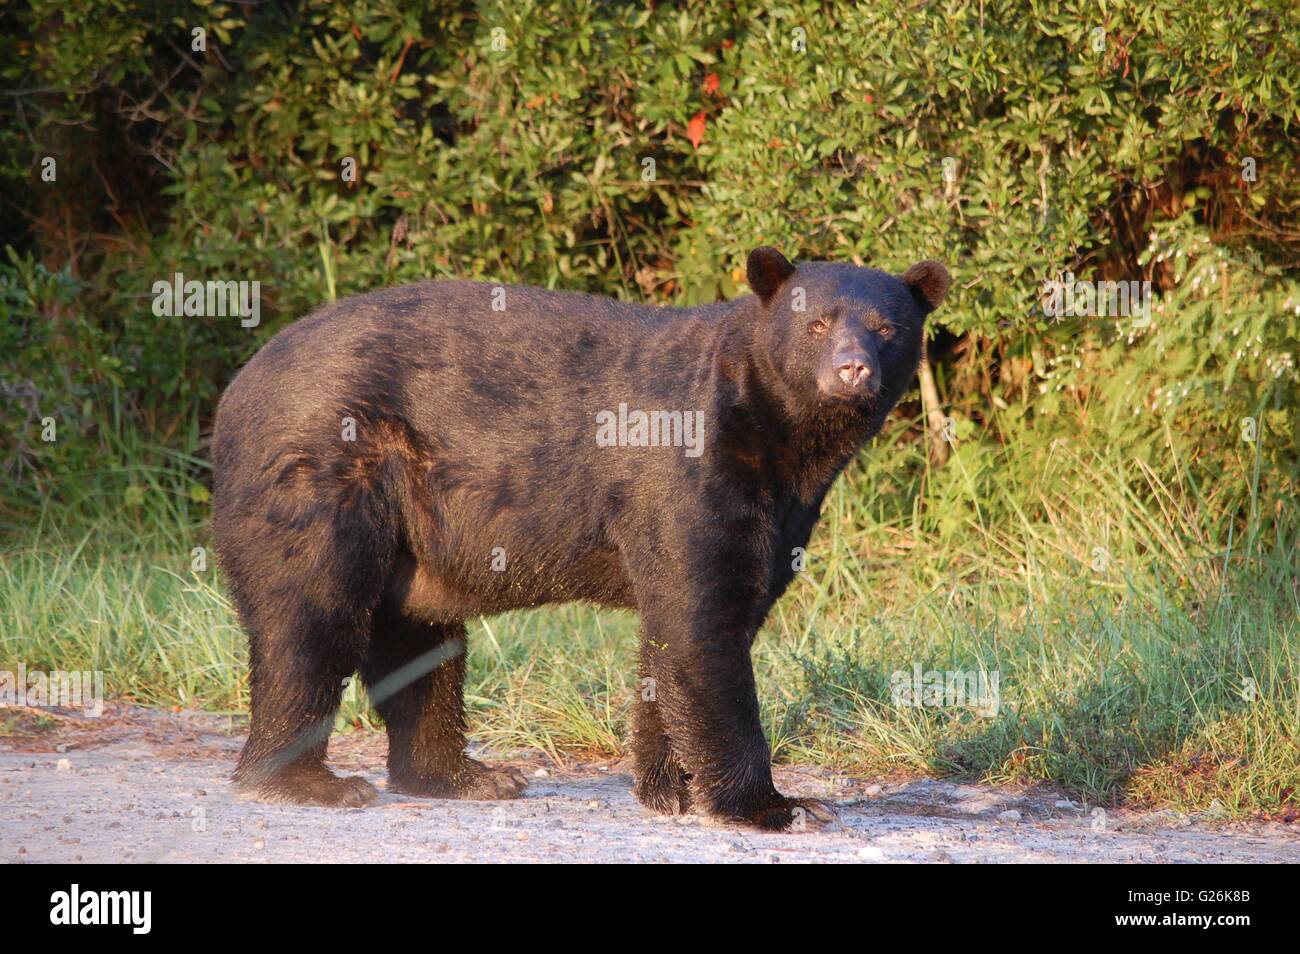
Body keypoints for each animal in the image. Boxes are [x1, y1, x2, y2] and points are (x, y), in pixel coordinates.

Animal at [210, 247, 951, 830]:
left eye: (886, 327)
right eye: (817, 323)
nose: (852, 369)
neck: (783, 441)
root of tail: (236, 388)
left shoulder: (780, 507)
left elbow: (679, 632)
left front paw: (669, 788)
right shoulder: (690, 468)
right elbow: (703, 626)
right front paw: (777, 805)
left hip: (411, 531)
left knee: (421, 641)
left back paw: (464, 776)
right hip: (322, 469)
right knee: (310, 617)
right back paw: (306, 783)